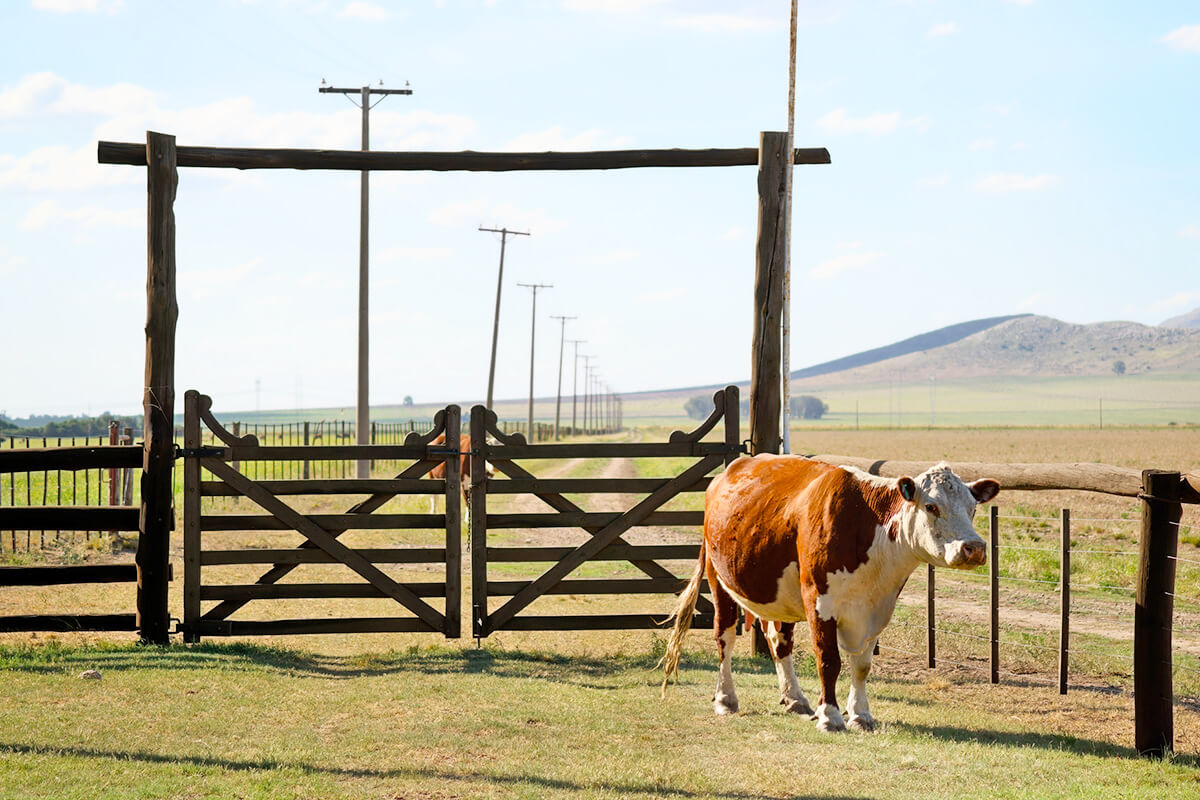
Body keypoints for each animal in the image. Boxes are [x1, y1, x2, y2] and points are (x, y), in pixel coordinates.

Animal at [660, 455, 998, 733]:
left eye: (973, 508)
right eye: (931, 506)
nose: (974, 548)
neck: (868, 528)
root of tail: (729, 471)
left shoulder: (878, 608)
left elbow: (862, 665)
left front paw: (861, 714)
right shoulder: (820, 603)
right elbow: (829, 660)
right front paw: (831, 716)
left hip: (779, 596)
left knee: (780, 642)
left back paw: (795, 698)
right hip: (719, 581)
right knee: (724, 638)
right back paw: (726, 698)